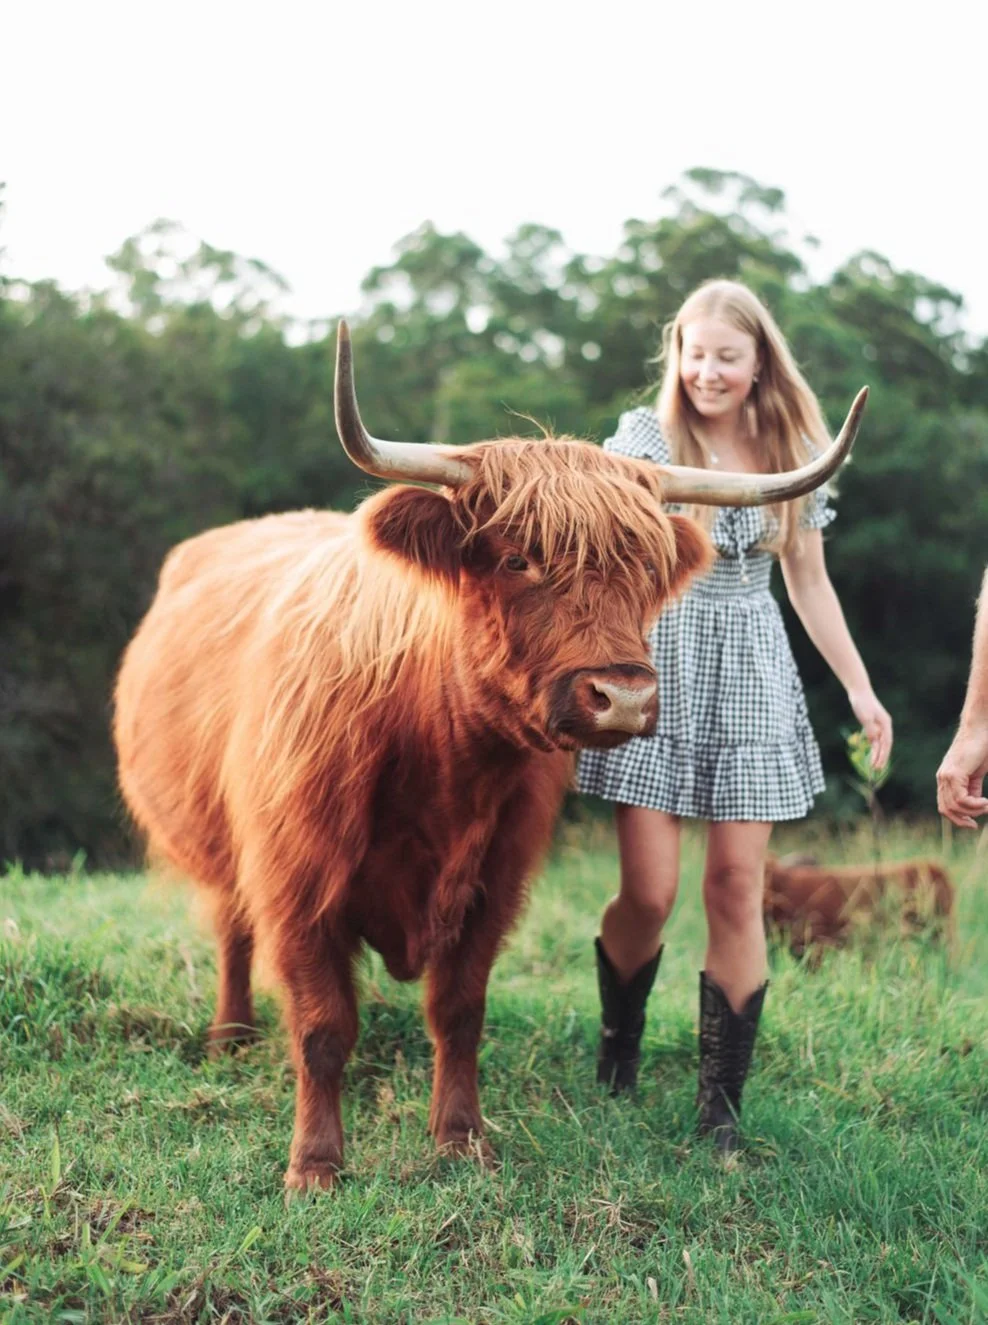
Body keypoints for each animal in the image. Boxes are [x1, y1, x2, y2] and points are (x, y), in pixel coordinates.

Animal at [114, 321, 866, 1191]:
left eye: (648, 569)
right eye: (516, 558)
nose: (624, 696)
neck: (439, 756)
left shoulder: (494, 881)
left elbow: (459, 1009)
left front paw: (461, 1138)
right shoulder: (297, 875)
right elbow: (323, 1023)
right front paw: (315, 1164)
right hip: (222, 846)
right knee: (232, 928)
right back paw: (230, 1034)